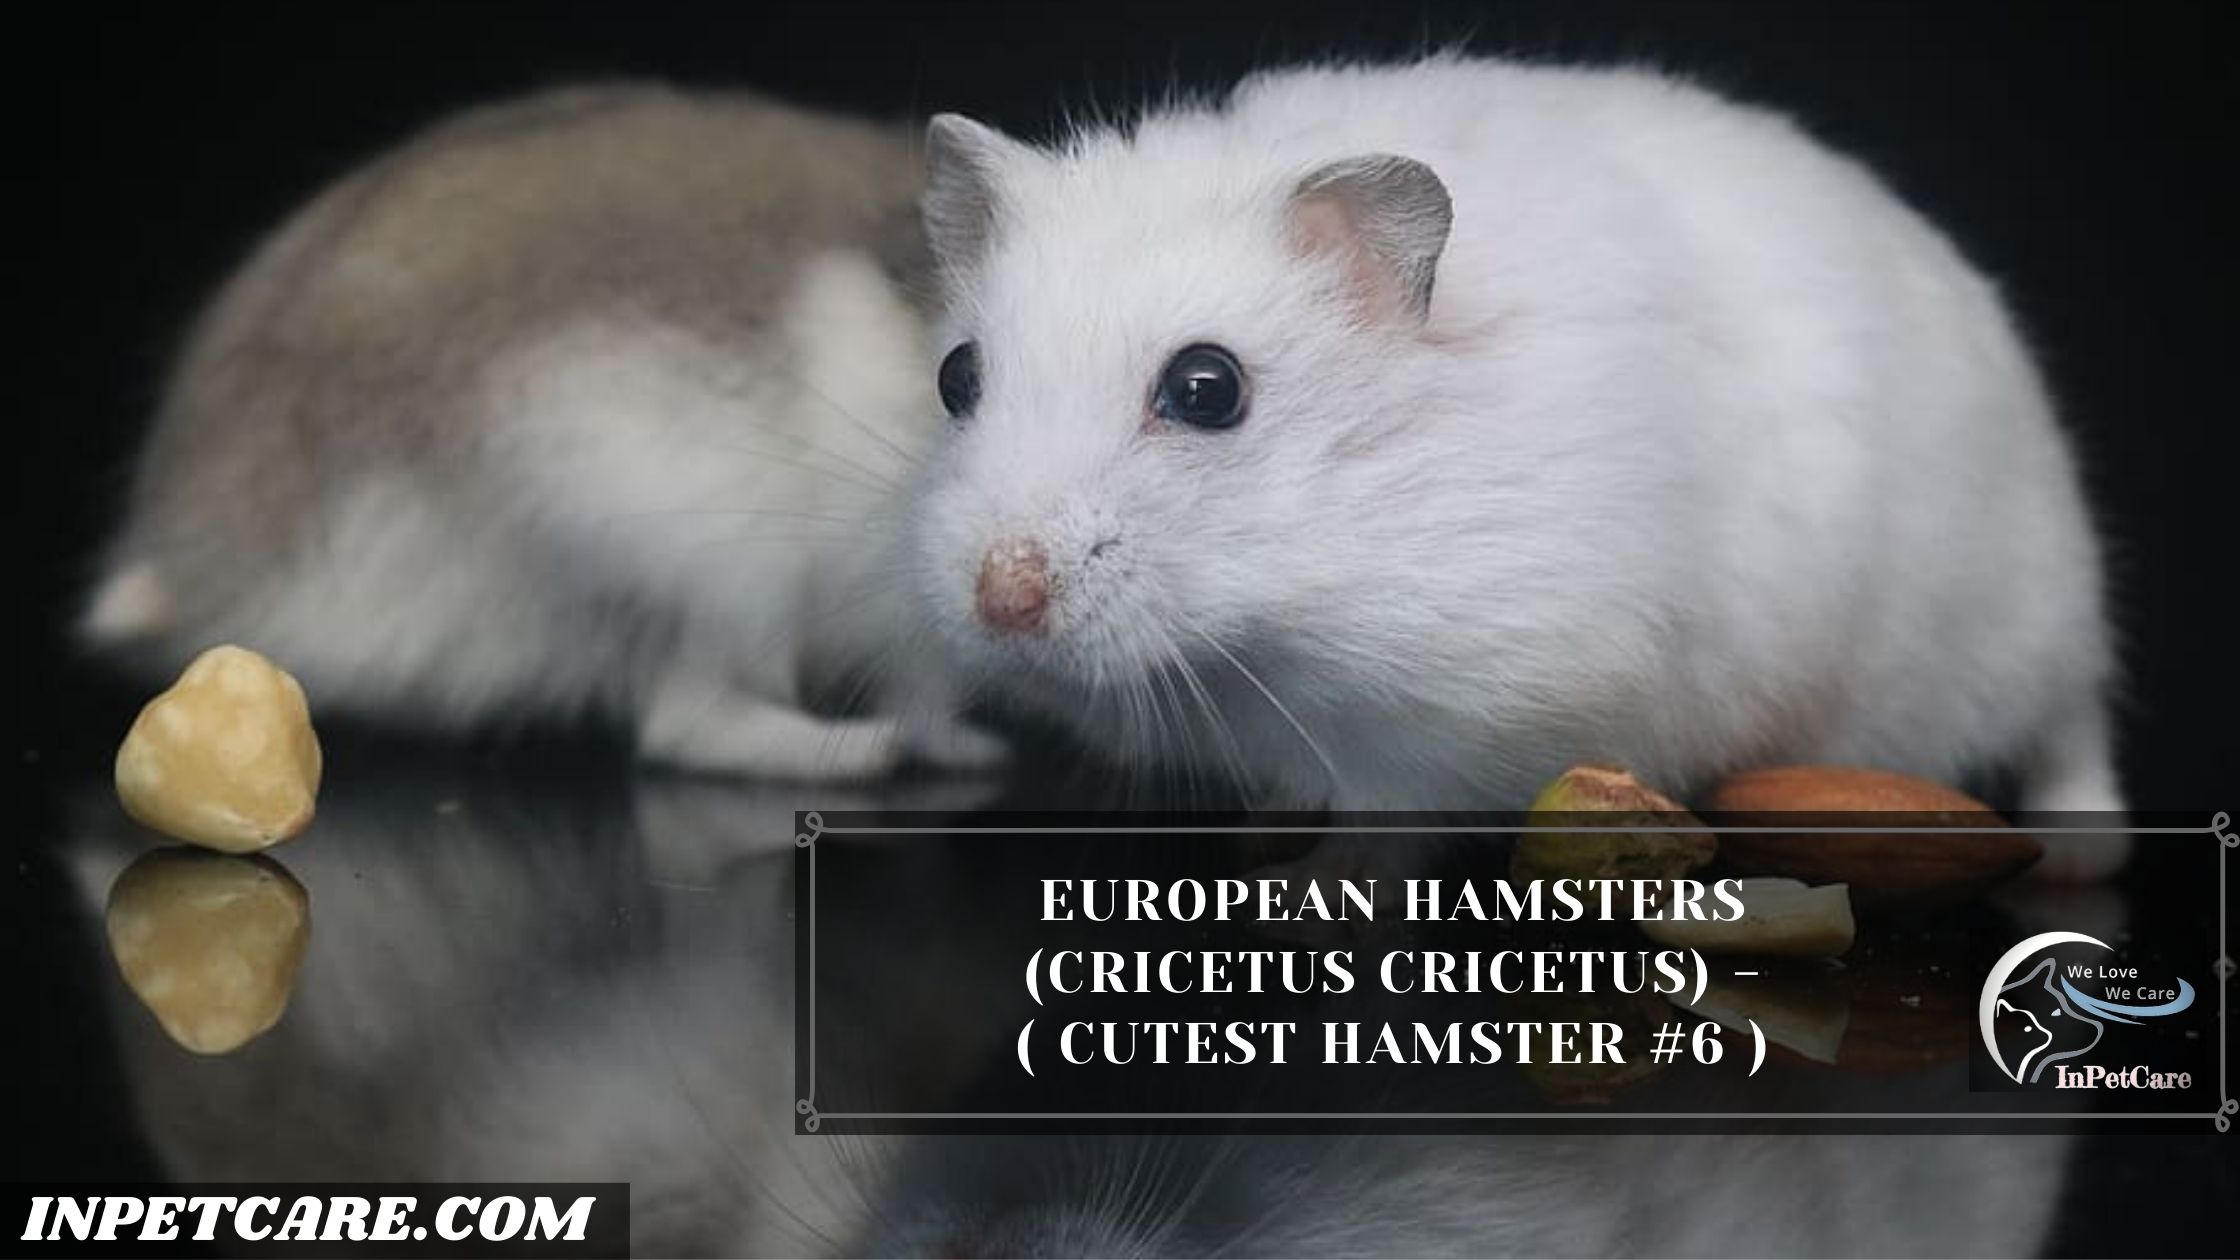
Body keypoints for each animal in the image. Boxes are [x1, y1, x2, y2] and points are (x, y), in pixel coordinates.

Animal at [77, 85, 1000, 781]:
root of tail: (181, 561)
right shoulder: (898, 604)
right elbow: (921, 690)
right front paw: (965, 749)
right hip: (718, 577)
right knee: (684, 724)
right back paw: (865, 756)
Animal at [911, 57, 2127, 875]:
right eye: (956, 378)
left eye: (1208, 389)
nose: (998, 602)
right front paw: (1268, 837)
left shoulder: (1482, 707)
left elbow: (1383, 832)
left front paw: (1308, 904)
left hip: (2029, 614)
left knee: (2071, 725)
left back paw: (2085, 851)